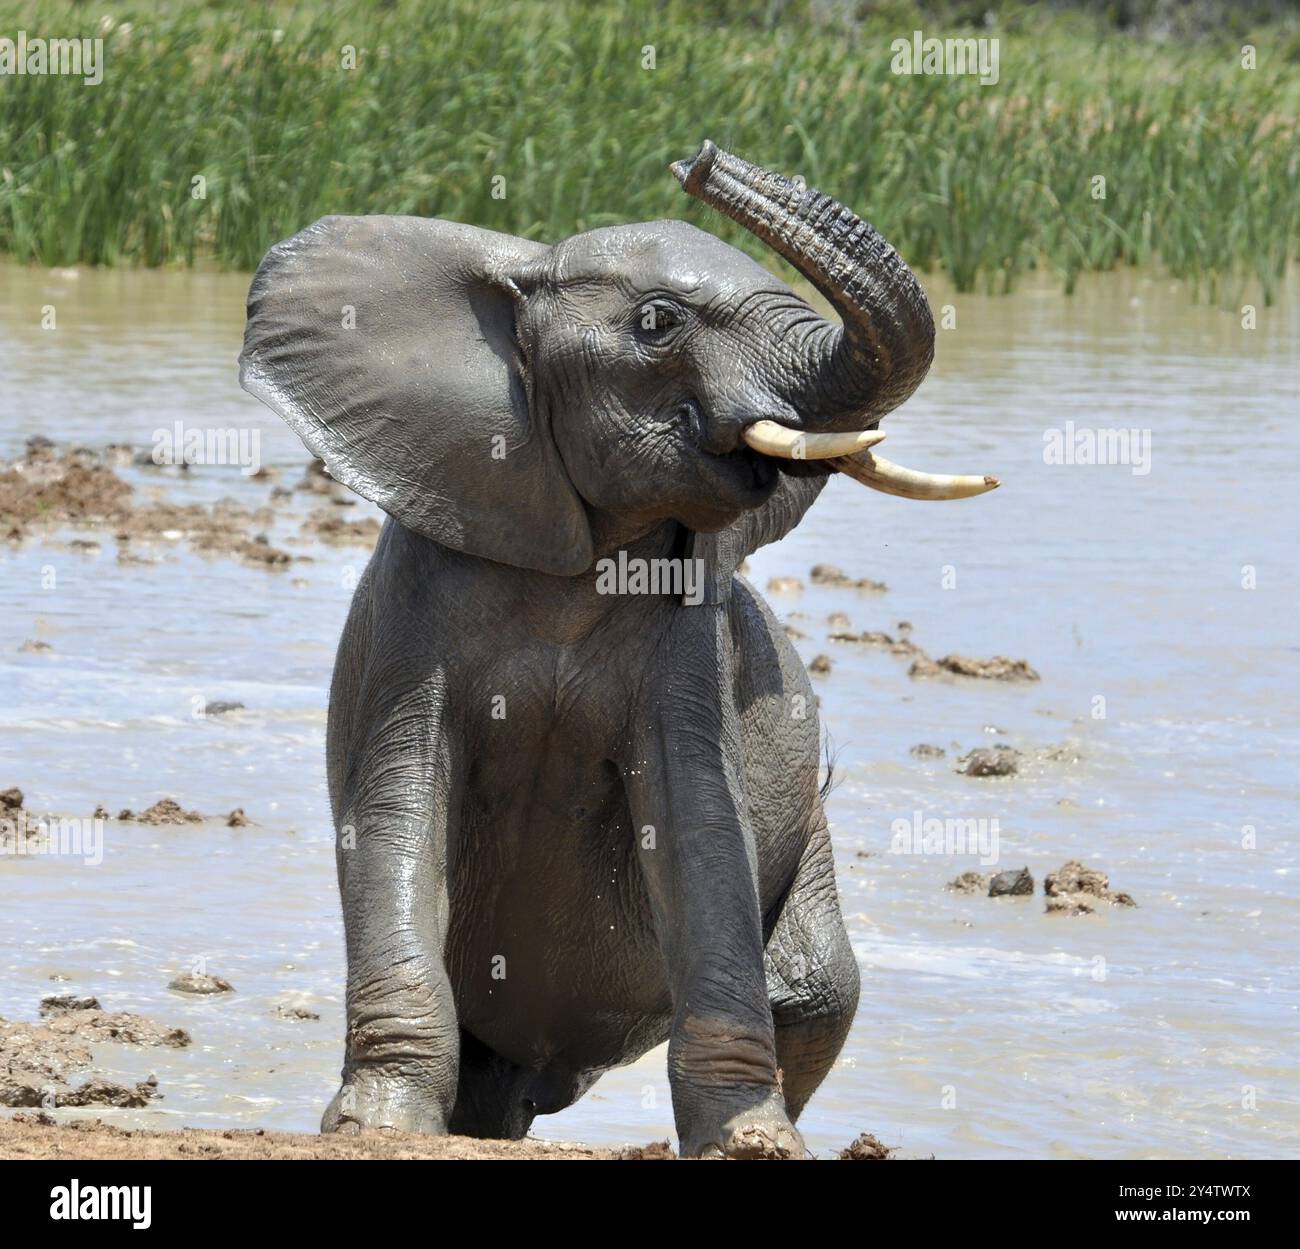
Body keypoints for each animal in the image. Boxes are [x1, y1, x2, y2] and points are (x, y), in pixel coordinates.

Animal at [239, 141, 995, 1158]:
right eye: (655, 322)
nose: (700, 157)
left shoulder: (690, 638)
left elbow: (700, 821)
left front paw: (751, 1144)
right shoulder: (415, 602)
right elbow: (402, 802)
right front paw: (377, 1124)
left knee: (820, 990)